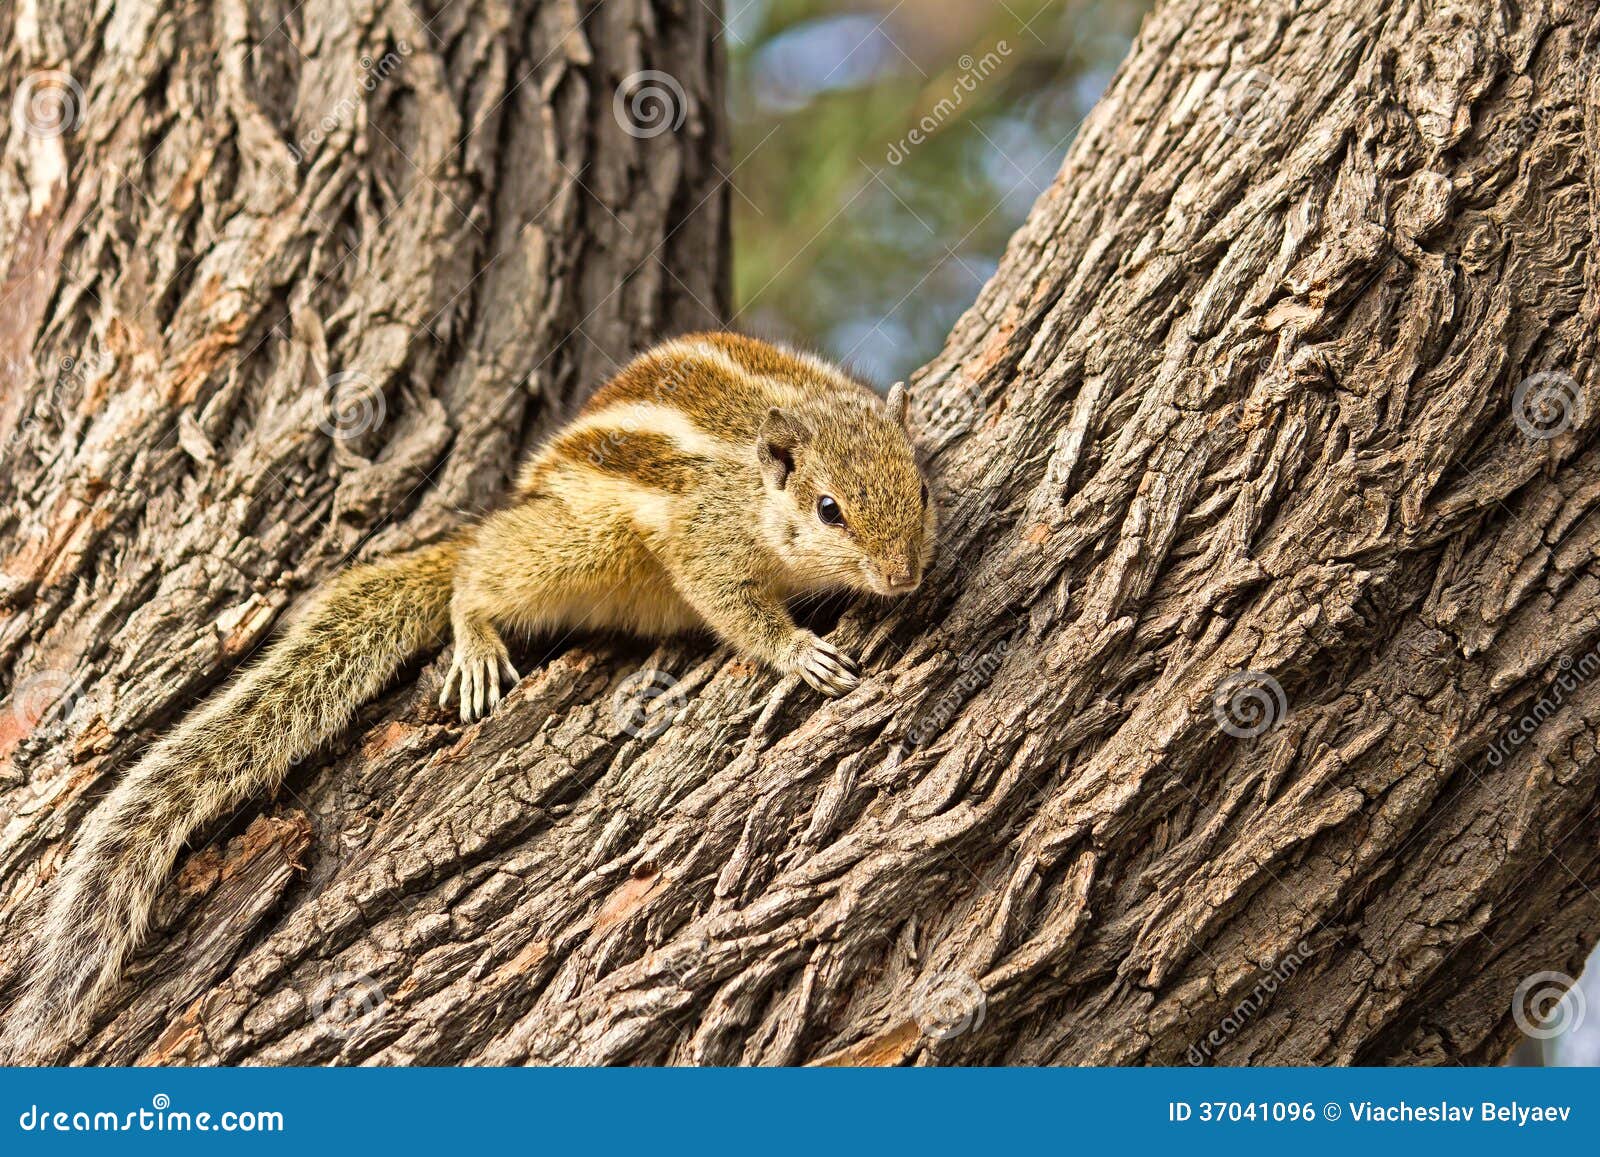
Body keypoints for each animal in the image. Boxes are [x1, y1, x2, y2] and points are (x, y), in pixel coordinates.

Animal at [3, 331, 936, 1061]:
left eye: (921, 487)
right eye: (829, 508)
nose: (902, 576)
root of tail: (528, 492)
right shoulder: (710, 539)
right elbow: (733, 603)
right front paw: (800, 652)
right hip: (587, 543)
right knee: (481, 568)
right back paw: (477, 632)